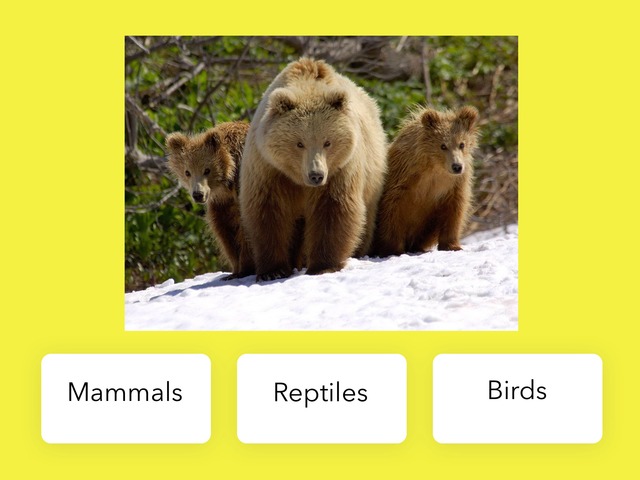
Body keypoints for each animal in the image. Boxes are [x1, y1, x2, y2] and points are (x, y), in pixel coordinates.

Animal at [165, 121, 254, 279]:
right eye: (187, 172)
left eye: (207, 170)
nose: (198, 194)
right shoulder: (221, 203)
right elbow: (224, 231)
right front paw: (234, 270)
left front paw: (245, 269)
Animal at [239, 58, 387, 281]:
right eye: (299, 143)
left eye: (328, 142)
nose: (316, 175)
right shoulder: (269, 169)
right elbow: (268, 212)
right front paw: (273, 270)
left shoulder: (340, 170)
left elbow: (333, 208)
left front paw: (323, 265)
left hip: (372, 175)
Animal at [372, 106, 479, 257]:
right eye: (443, 146)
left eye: (461, 144)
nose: (457, 166)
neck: (435, 168)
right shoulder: (403, 180)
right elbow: (392, 210)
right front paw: (393, 249)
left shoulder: (454, 185)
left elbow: (454, 211)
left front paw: (452, 245)